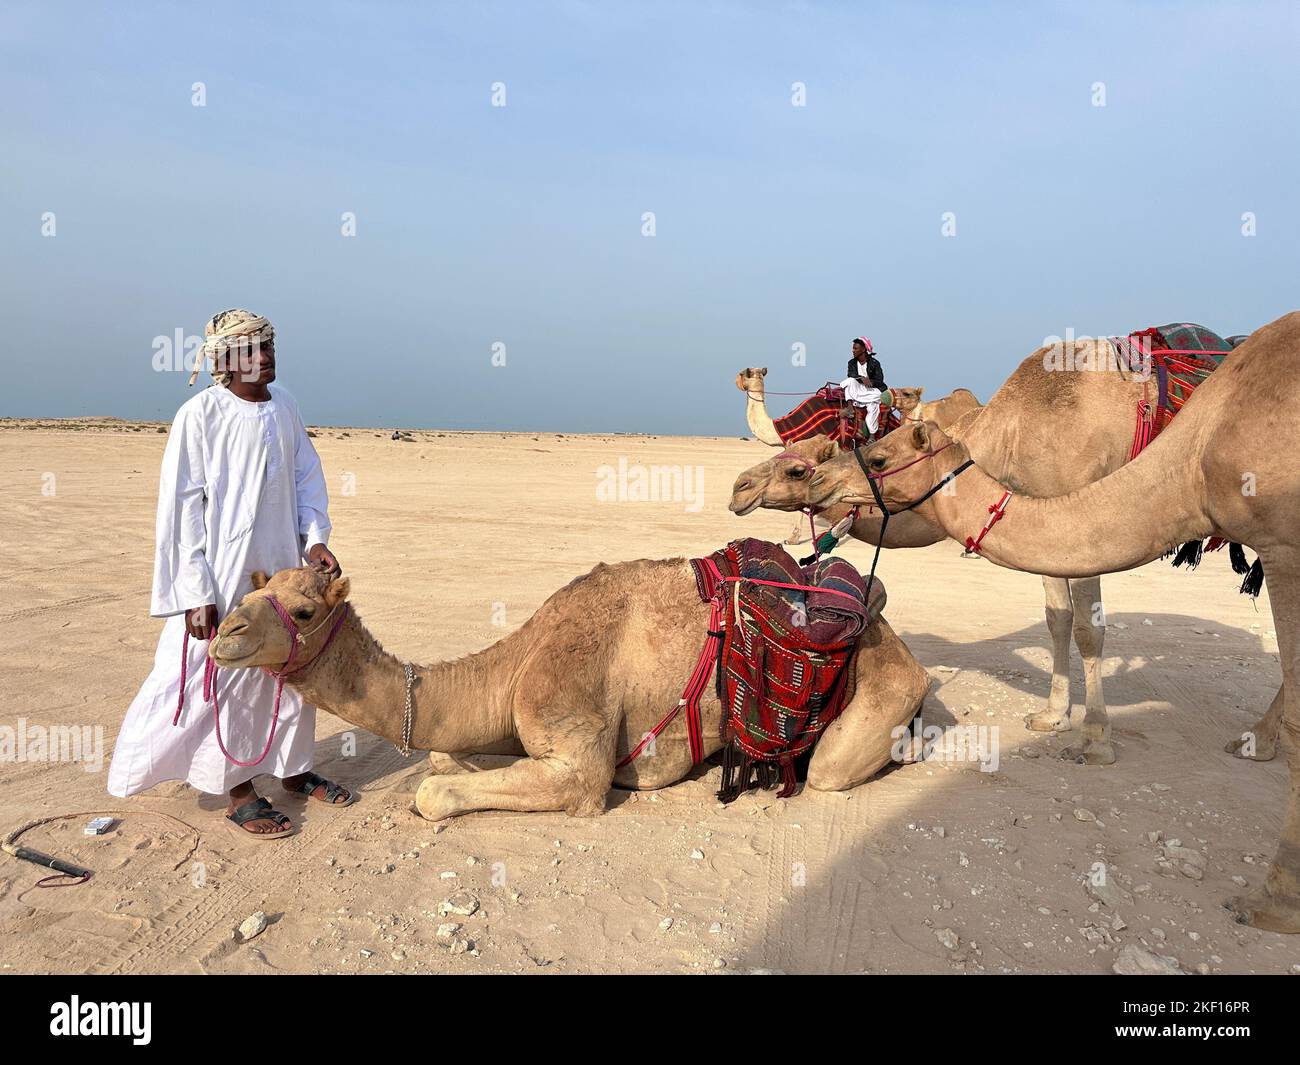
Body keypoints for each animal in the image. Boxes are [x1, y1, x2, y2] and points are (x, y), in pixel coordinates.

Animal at [208, 562, 930, 822]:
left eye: (303, 609)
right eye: (252, 591)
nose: (222, 633)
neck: (518, 661)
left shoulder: (577, 750)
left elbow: (433, 791)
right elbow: (444, 757)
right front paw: (462, 762)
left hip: (883, 684)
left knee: (834, 764)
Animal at [733, 334, 1268, 767]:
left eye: (796, 469)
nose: (739, 488)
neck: (1017, 426)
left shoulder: (1086, 520)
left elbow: (1089, 631)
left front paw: (1095, 740)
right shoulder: (1046, 517)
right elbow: (1058, 619)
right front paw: (1053, 716)